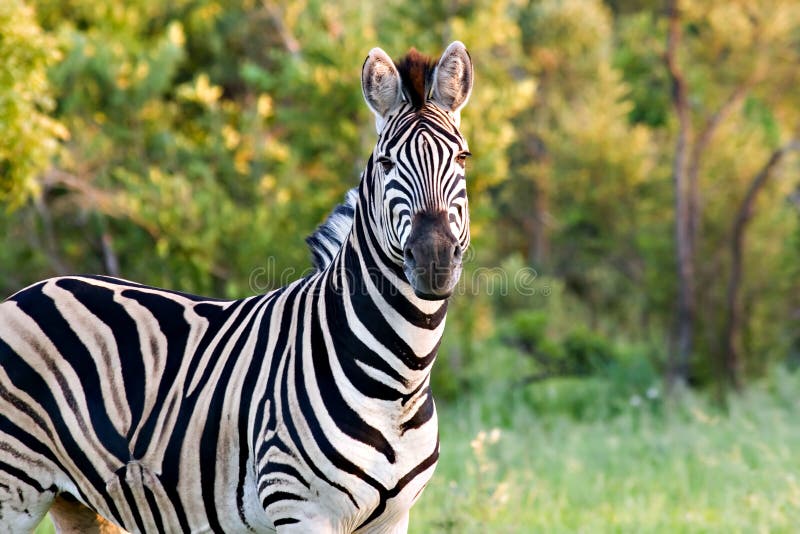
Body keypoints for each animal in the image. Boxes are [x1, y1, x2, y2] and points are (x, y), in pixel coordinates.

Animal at [0, 40, 473, 533]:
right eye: (386, 163)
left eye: (462, 158)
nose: (435, 260)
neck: (398, 384)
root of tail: (29, 291)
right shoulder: (301, 510)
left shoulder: (393, 518)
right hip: (14, 490)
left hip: (79, 501)